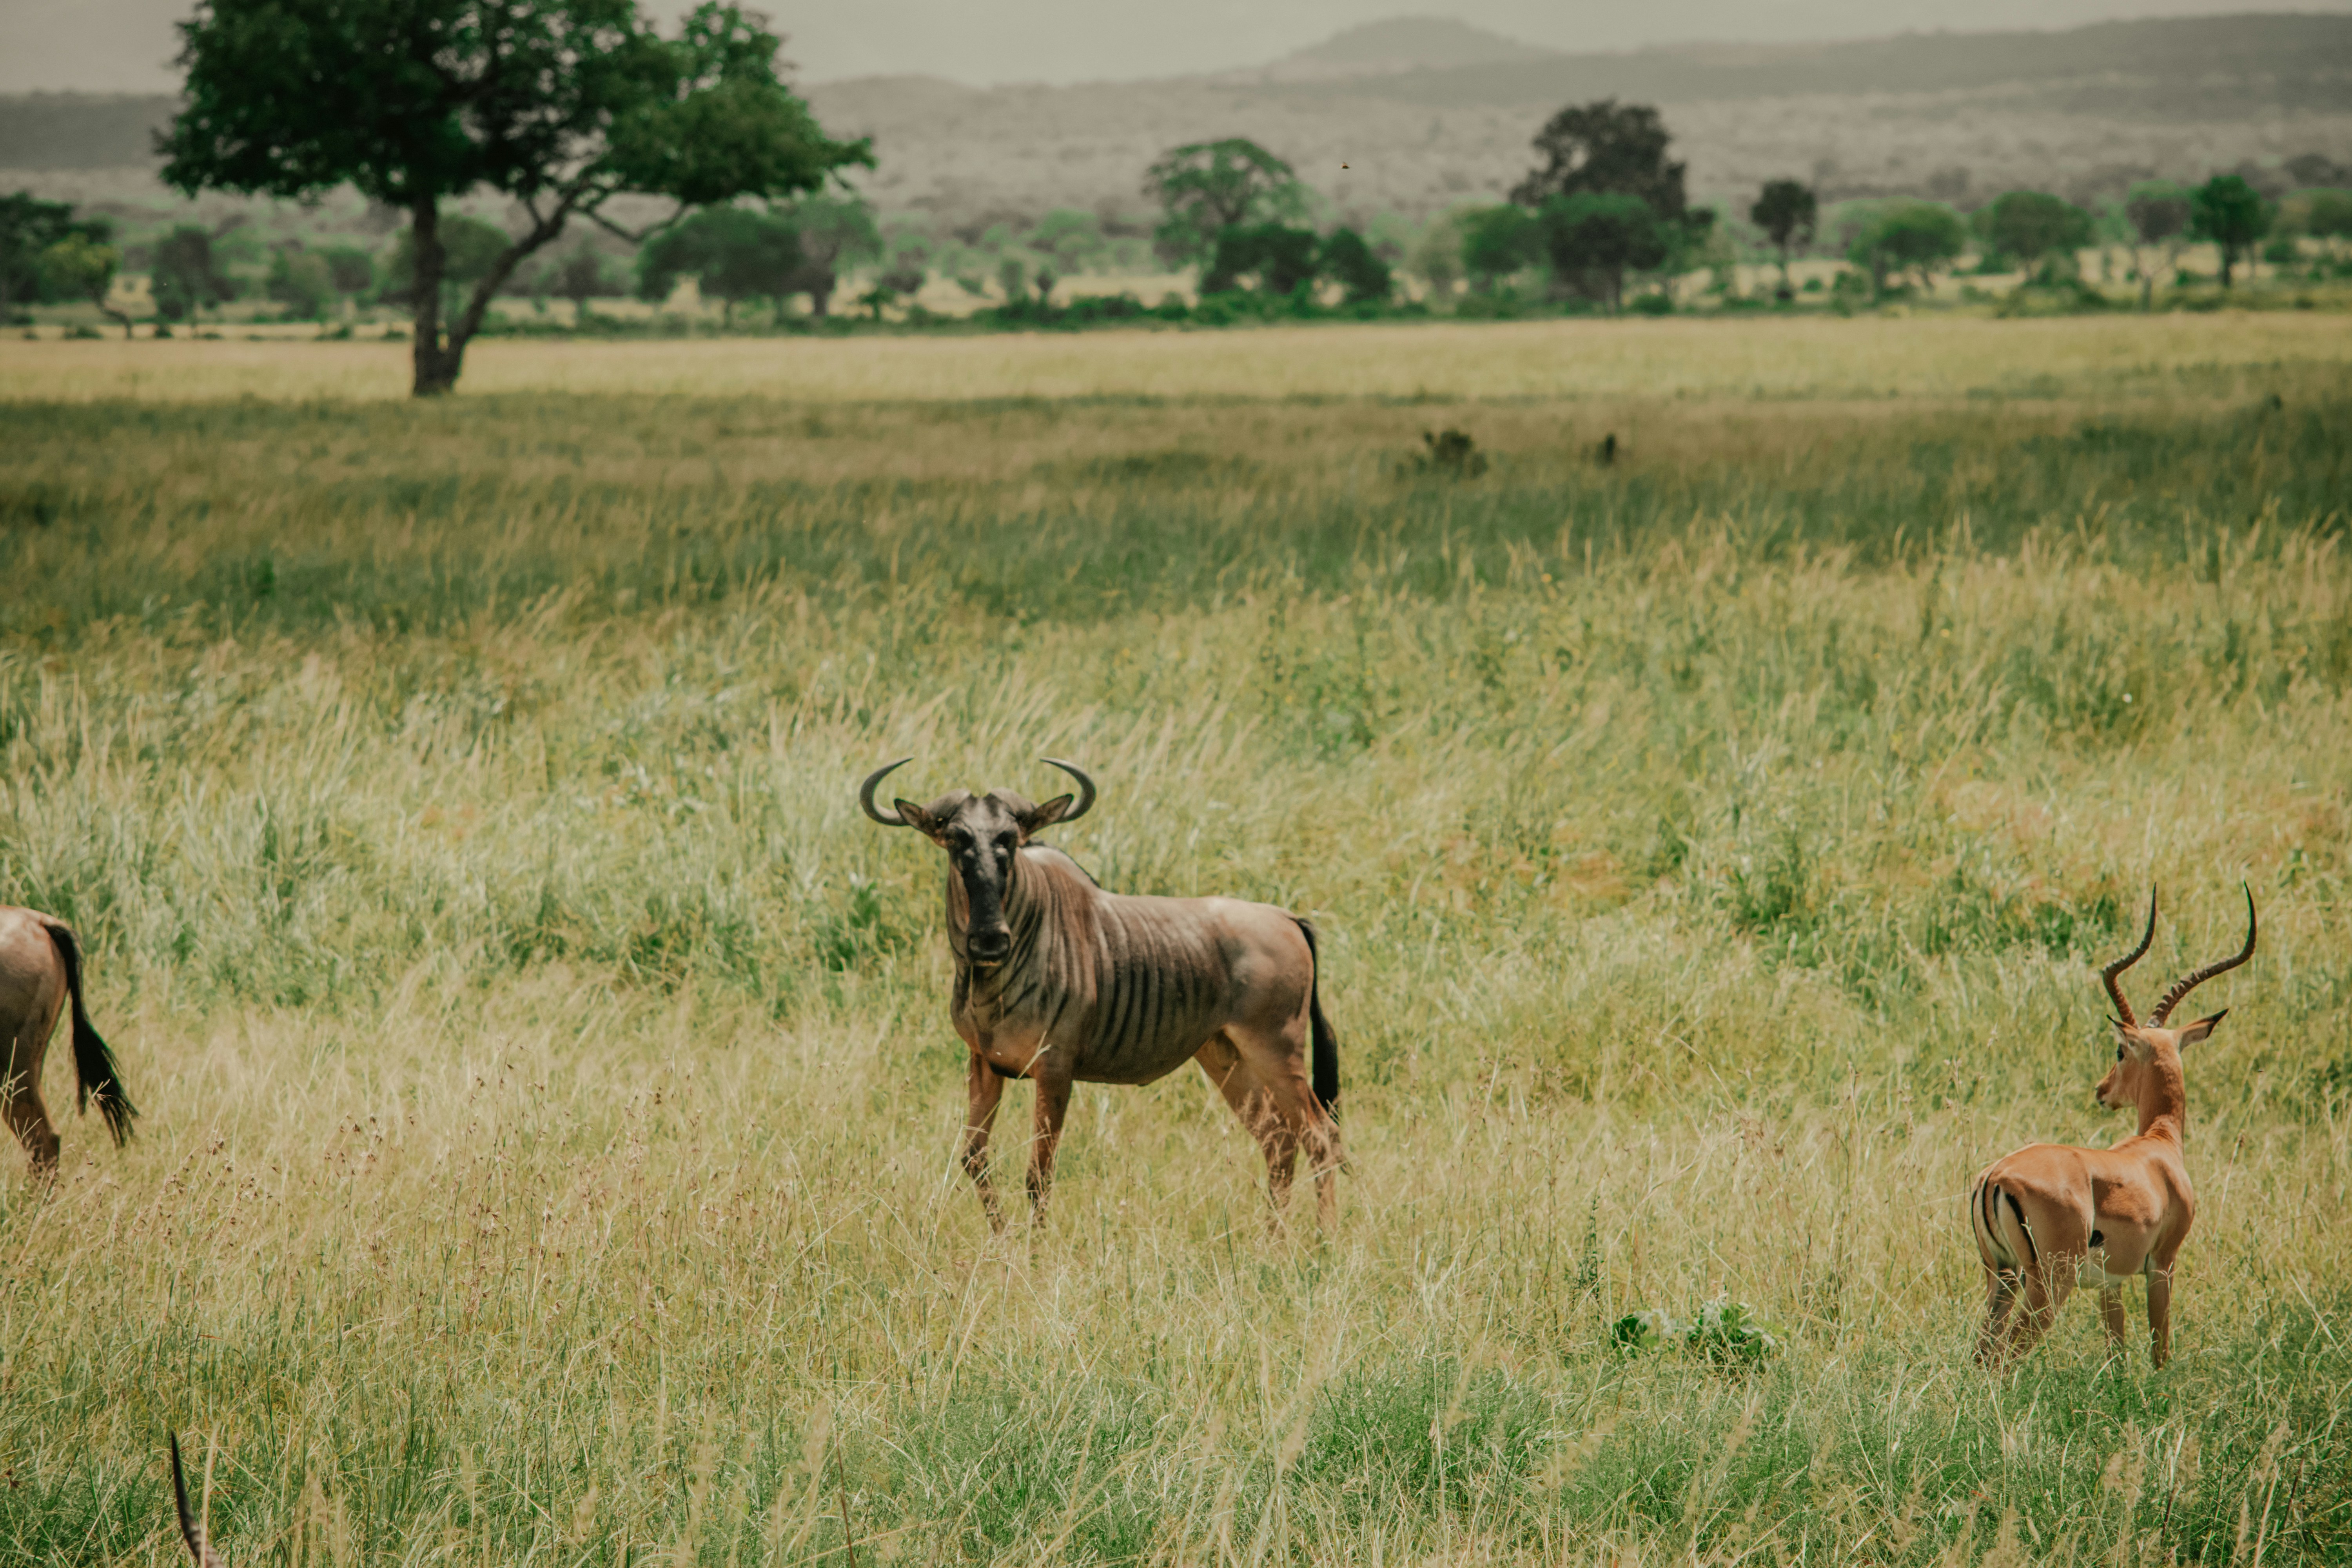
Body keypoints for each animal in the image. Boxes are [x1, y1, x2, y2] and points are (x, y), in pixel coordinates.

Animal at [861, 757, 1345, 1230]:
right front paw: (1002, 1238)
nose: (990, 941)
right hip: (1226, 1057)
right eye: (955, 841)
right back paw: (1273, 1240)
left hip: (1276, 1052)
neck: (990, 986)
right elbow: (974, 1159)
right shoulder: (983, 1064)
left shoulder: (1055, 1068)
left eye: (1011, 842)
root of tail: (1288, 918)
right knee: (1279, 1139)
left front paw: (1035, 1250)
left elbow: (1039, 1175)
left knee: (1321, 1136)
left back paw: (1324, 1239)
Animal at [1970, 886, 2256, 1369]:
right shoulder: (2162, 1263)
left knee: (1981, 1353)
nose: (2102, 1091)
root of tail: (1997, 1175)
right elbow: (2160, 1347)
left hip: (2003, 1278)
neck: (2158, 1148)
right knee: (2007, 1355)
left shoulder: (2112, 1282)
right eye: (2120, 1050)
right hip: (2048, 1284)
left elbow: (2116, 1353)